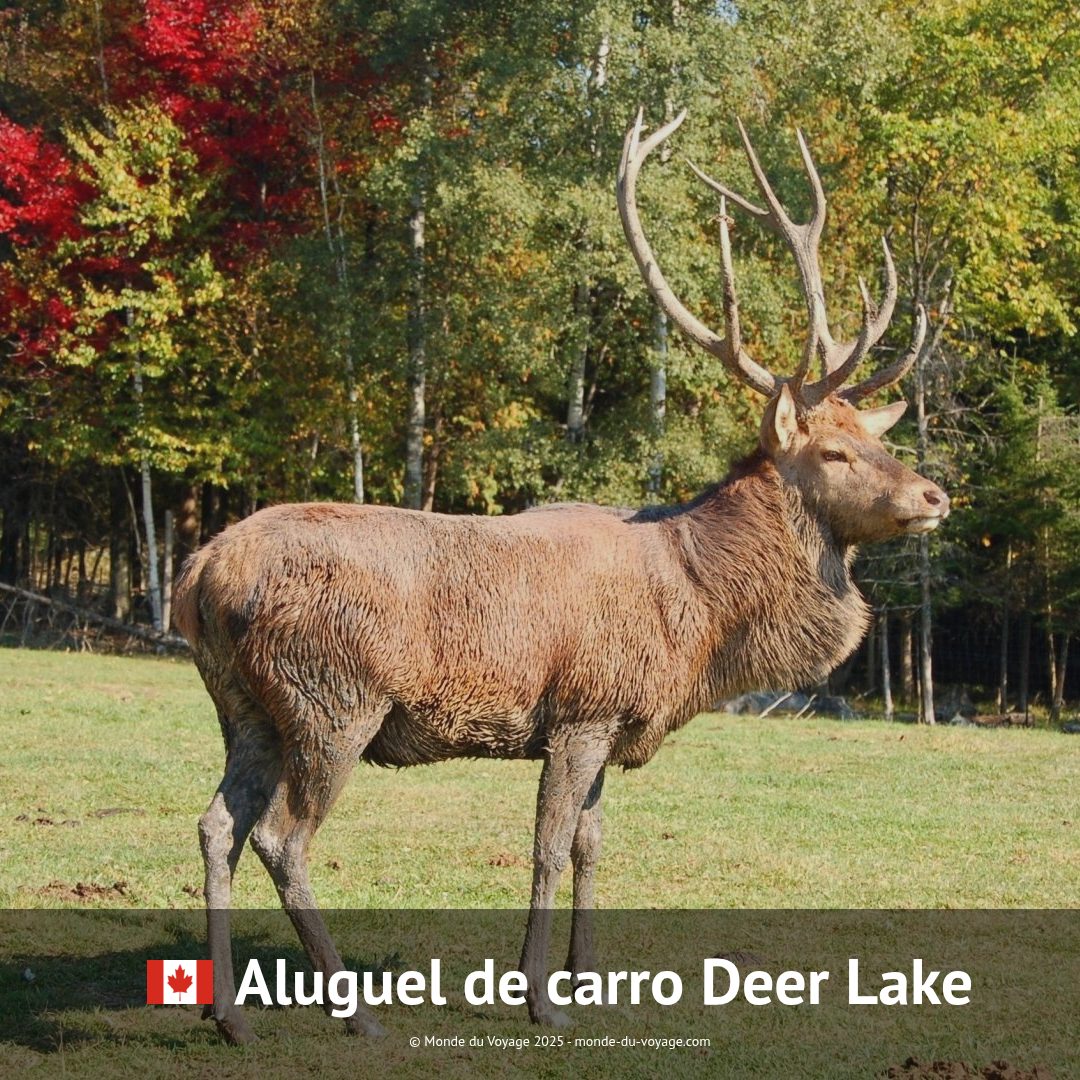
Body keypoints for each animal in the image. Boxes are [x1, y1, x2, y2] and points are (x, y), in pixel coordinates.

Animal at [173, 108, 949, 1043]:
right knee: (281, 835)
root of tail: (198, 574)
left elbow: (590, 843)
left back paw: (228, 1013)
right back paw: (354, 1011)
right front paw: (541, 996)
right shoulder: (583, 709)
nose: (934, 494)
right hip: (333, 697)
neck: (696, 614)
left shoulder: (615, 719)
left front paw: (586, 979)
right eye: (834, 452)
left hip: (245, 705)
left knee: (217, 822)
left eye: (875, 437)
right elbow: (546, 845)